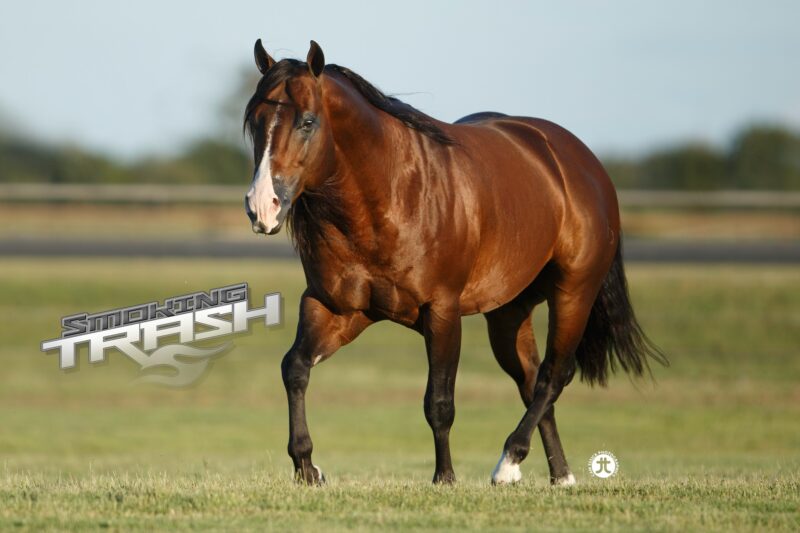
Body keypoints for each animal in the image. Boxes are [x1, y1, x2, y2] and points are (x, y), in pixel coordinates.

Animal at [243, 39, 666, 485]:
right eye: (255, 120)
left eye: (307, 122)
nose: (262, 207)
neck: (391, 197)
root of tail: (580, 162)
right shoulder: (337, 308)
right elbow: (295, 368)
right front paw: (307, 465)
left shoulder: (442, 311)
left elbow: (439, 401)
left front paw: (444, 478)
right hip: (508, 313)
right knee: (531, 379)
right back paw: (560, 475)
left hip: (573, 294)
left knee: (553, 376)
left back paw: (509, 461)